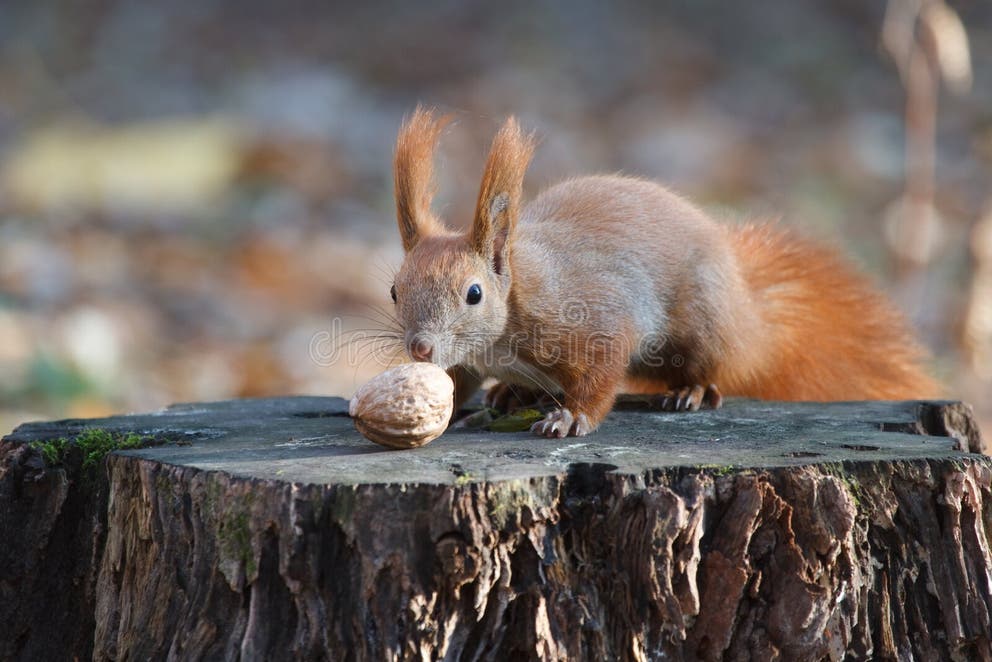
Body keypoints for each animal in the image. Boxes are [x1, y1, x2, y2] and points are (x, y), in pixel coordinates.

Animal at [388, 107, 940, 438]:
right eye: (394, 290)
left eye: (474, 294)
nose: (420, 348)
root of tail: (750, 313)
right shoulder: (467, 361)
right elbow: (457, 382)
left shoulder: (592, 317)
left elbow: (602, 372)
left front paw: (571, 417)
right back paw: (513, 392)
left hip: (704, 325)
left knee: (715, 369)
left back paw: (691, 391)